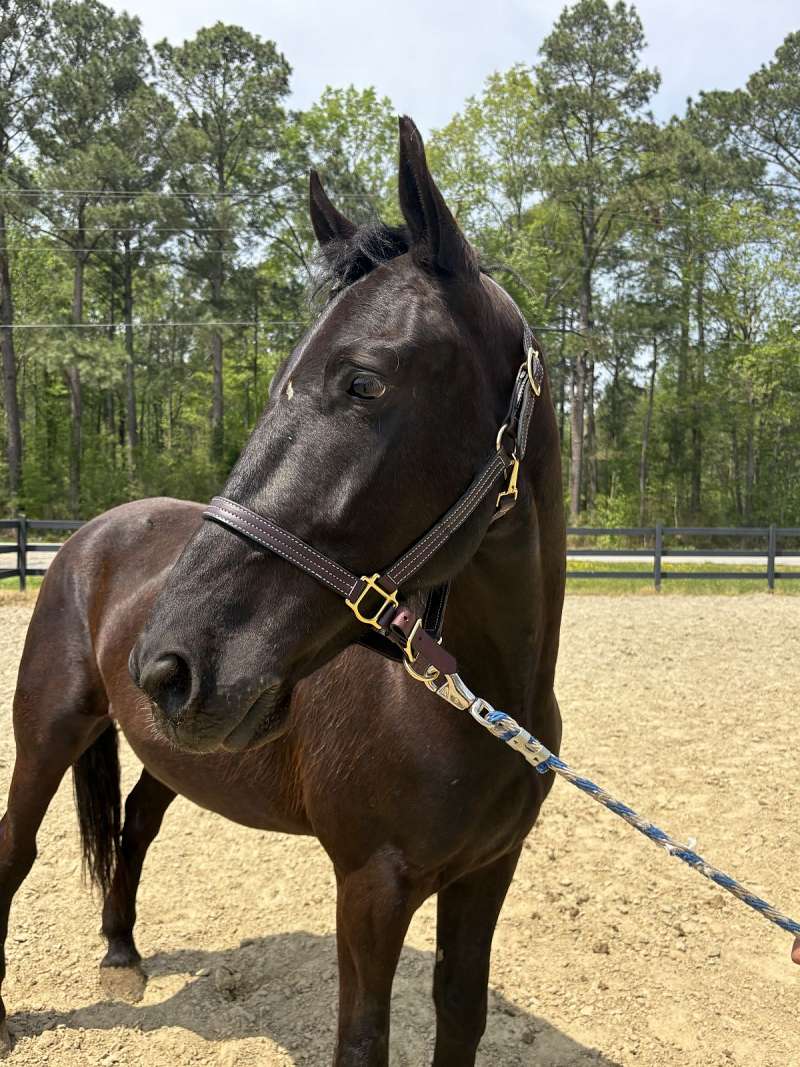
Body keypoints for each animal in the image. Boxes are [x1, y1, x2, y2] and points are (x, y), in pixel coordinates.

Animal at [0, 117, 565, 1065]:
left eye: (363, 380)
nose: (169, 663)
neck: (477, 703)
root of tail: (89, 535)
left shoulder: (489, 871)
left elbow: (461, 1009)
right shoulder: (371, 886)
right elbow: (362, 1039)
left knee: (136, 823)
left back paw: (121, 952)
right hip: (48, 731)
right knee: (15, 850)